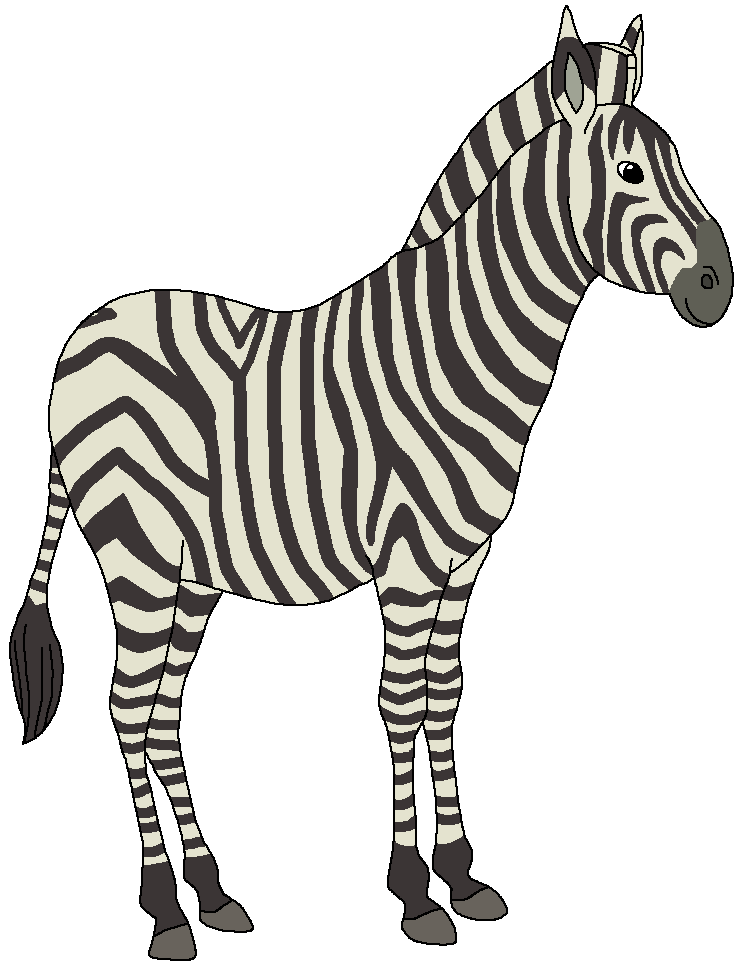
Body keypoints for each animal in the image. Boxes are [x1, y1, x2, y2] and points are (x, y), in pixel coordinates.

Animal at [10, 8, 731, 957]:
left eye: (676, 164)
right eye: (629, 172)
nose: (718, 287)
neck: (460, 344)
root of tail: (83, 334)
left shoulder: (461, 564)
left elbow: (444, 697)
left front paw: (463, 877)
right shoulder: (409, 562)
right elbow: (397, 703)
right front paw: (416, 896)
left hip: (188, 575)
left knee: (161, 711)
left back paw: (215, 892)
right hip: (137, 555)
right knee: (128, 709)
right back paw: (167, 911)